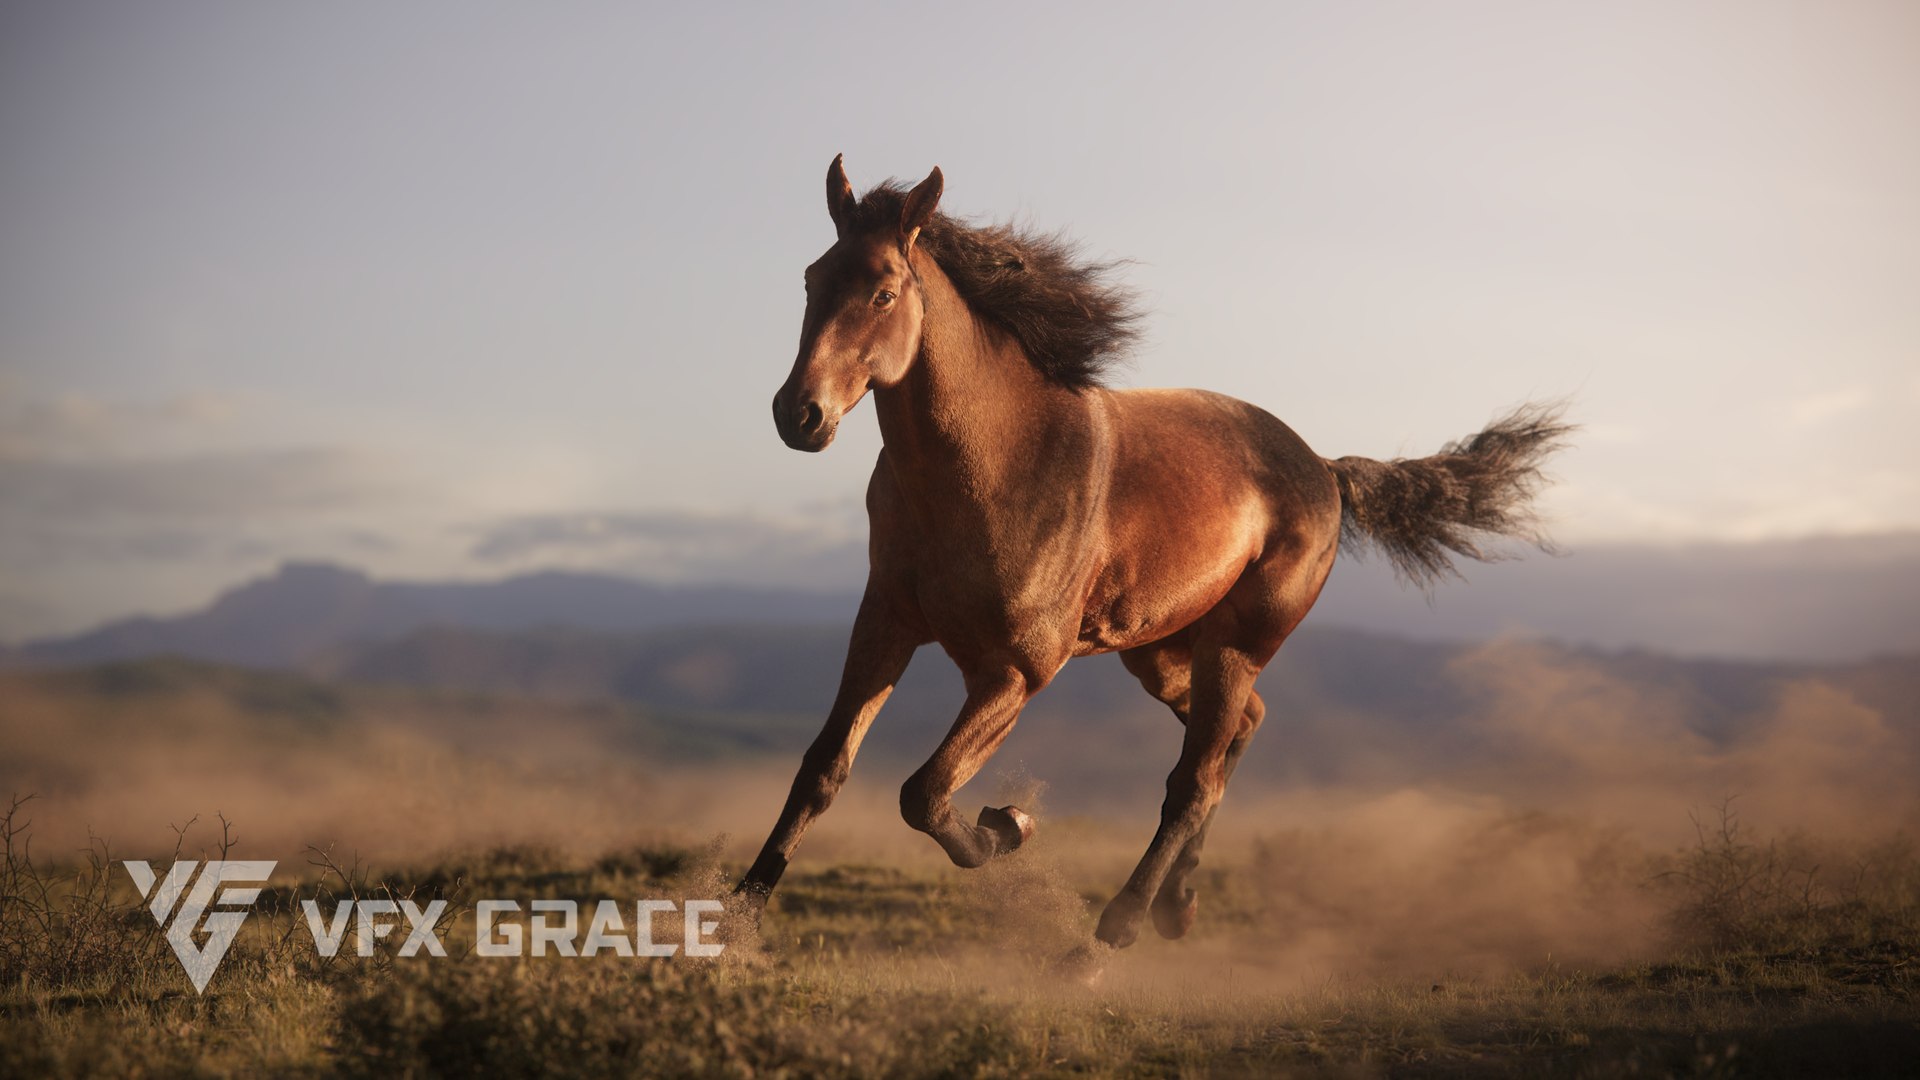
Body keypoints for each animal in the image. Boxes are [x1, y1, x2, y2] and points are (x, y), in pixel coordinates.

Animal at [739, 155, 1571, 955]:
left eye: (883, 292)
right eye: (813, 278)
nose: (798, 414)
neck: (992, 465)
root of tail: (1324, 468)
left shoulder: (1017, 670)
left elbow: (925, 791)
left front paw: (1011, 826)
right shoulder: (886, 623)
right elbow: (825, 767)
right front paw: (742, 914)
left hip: (1233, 646)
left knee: (1193, 780)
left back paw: (1115, 931)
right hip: (1164, 655)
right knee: (1239, 734)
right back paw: (1178, 902)